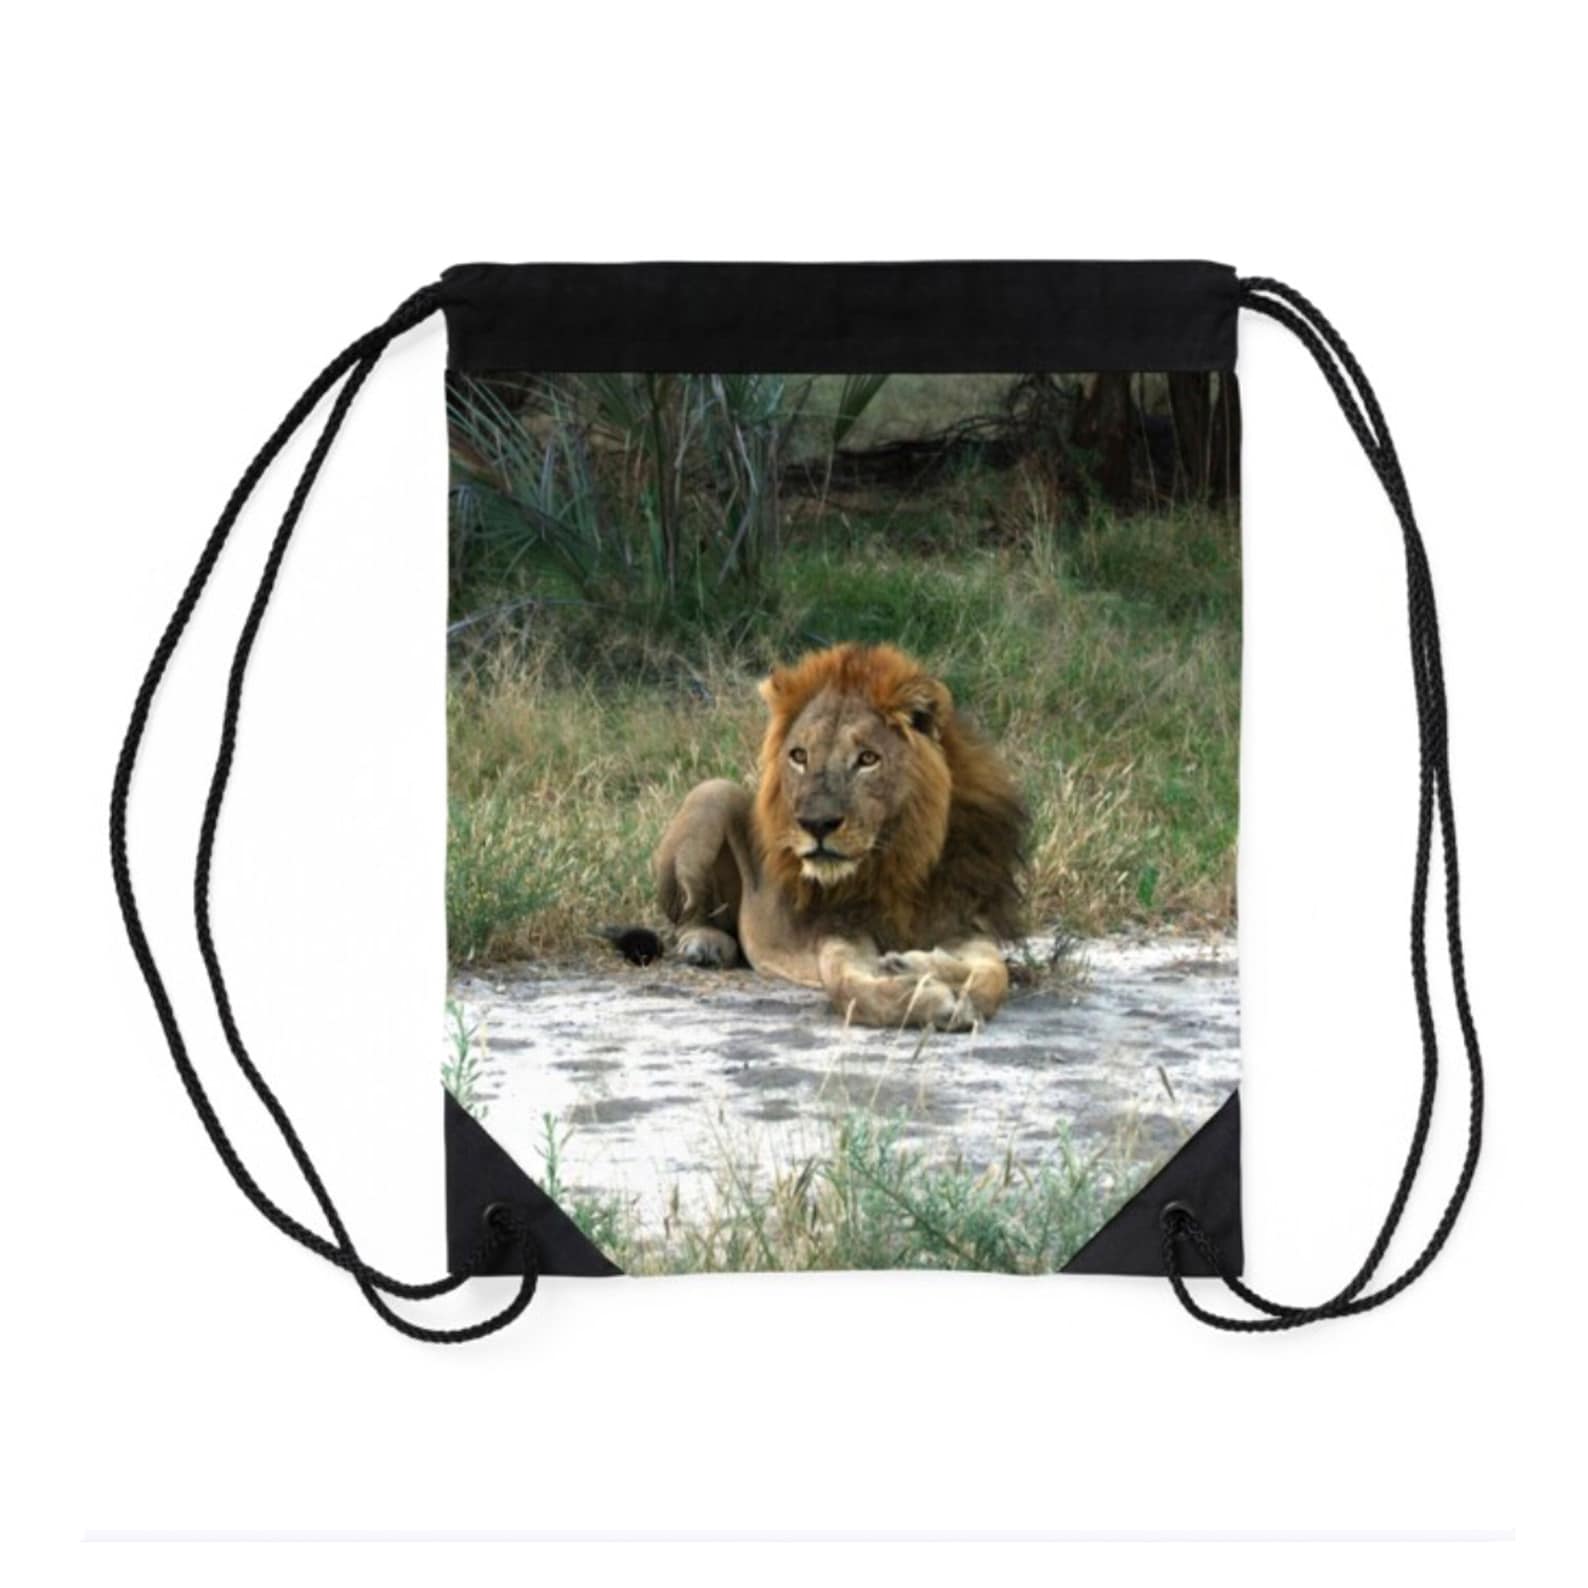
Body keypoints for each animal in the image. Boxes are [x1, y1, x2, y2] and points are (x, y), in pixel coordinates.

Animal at [652, 643, 1028, 1029]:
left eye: (868, 759)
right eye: (799, 756)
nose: (816, 824)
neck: (899, 860)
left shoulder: (962, 925)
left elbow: (995, 974)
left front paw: (916, 965)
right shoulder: (837, 931)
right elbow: (848, 986)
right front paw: (925, 1001)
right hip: (712, 793)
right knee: (688, 916)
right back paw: (705, 945)